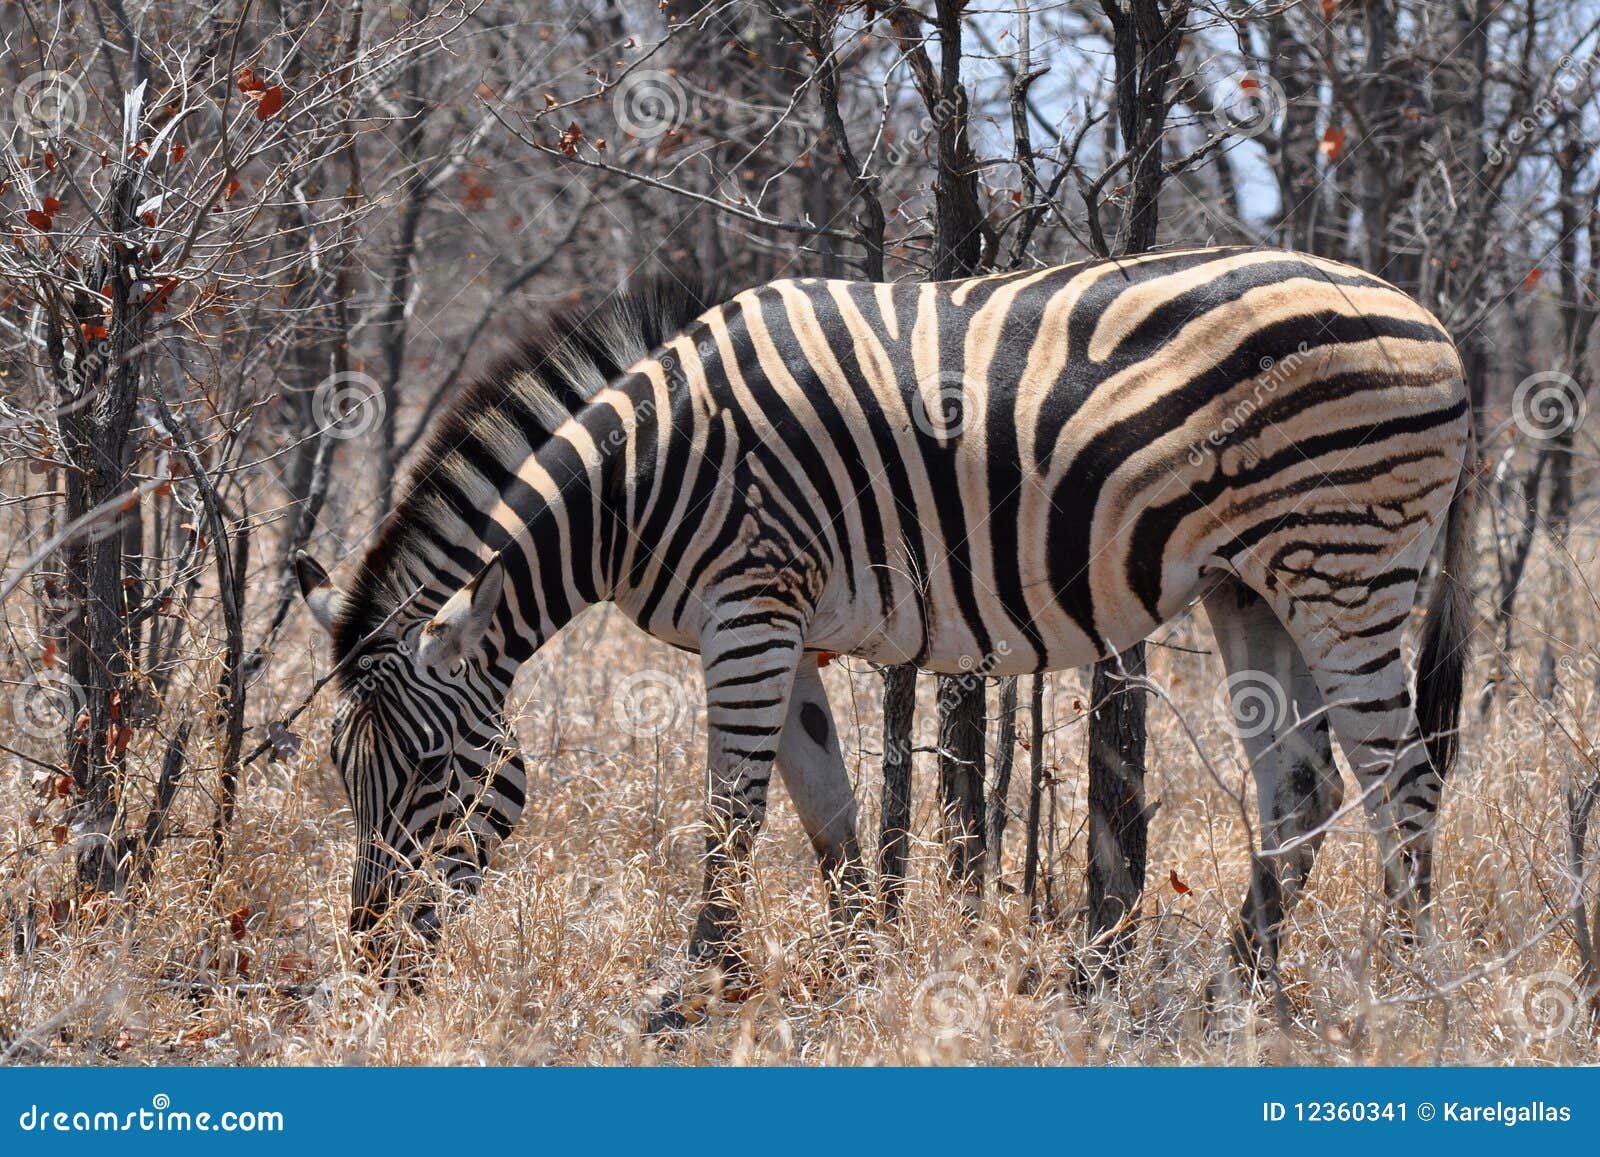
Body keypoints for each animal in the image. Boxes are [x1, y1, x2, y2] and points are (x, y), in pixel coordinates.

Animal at [296, 246, 1474, 1017]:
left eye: (433, 770)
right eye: (343, 772)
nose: (371, 958)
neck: (638, 481)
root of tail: (1432, 319)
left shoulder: (751, 608)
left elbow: (731, 810)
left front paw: (690, 991)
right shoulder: (778, 627)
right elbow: (824, 810)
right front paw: (851, 974)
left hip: (1343, 566)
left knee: (1401, 779)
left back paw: (1409, 987)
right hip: (1252, 584)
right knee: (1302, 783)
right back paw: (1237, 992)